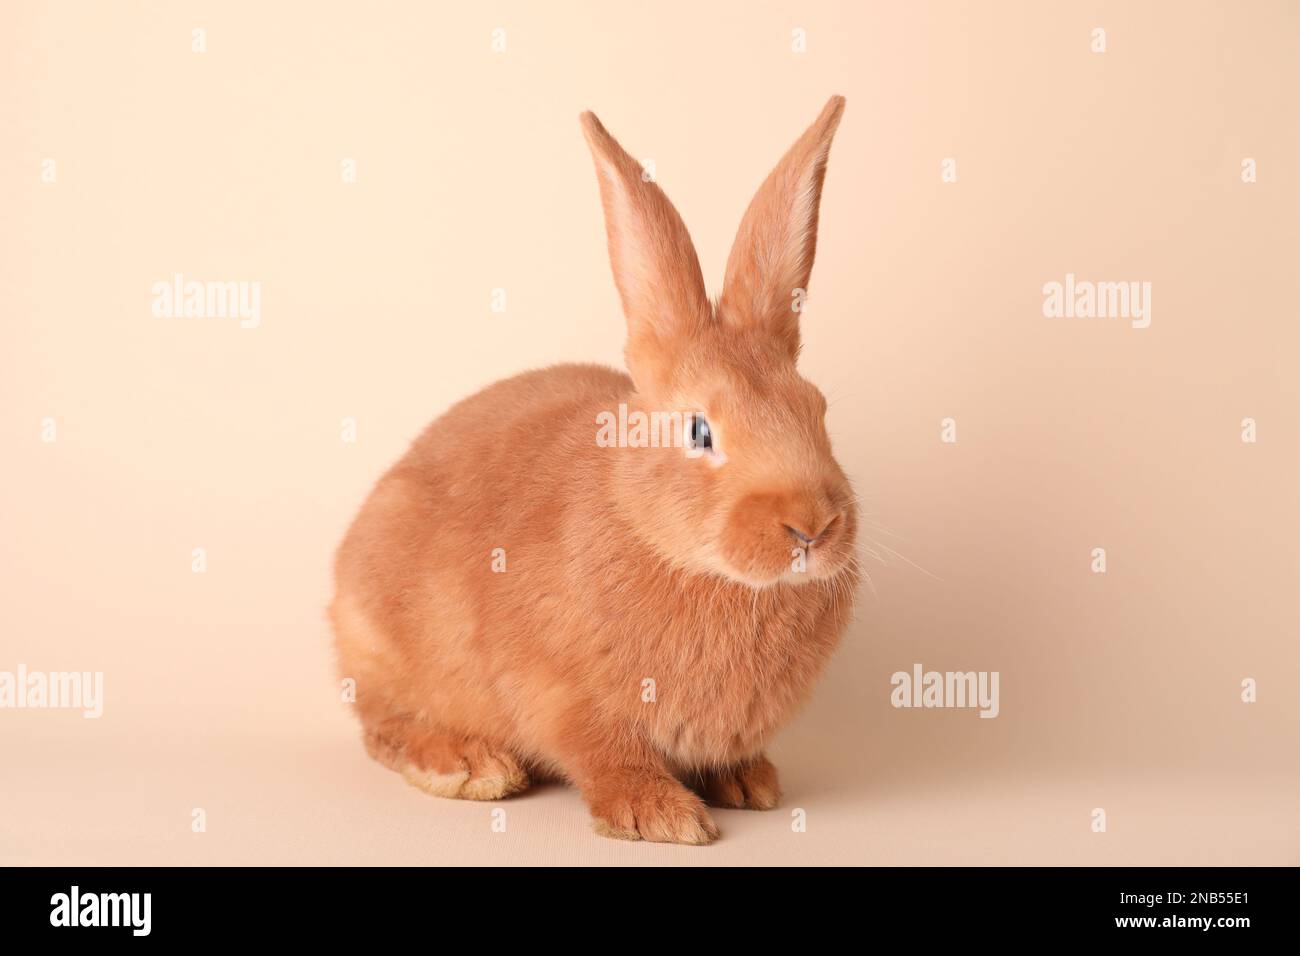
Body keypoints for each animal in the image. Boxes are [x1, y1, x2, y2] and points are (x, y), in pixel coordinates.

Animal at [331, 96, 859, 845]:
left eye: (817, 411)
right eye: (700, 430)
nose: (812, 526)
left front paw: (747, 782)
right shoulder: (562, 693)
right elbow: (605, 753)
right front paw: (660, 816)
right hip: (381, 643)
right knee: (381, 724)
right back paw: (467, 765)